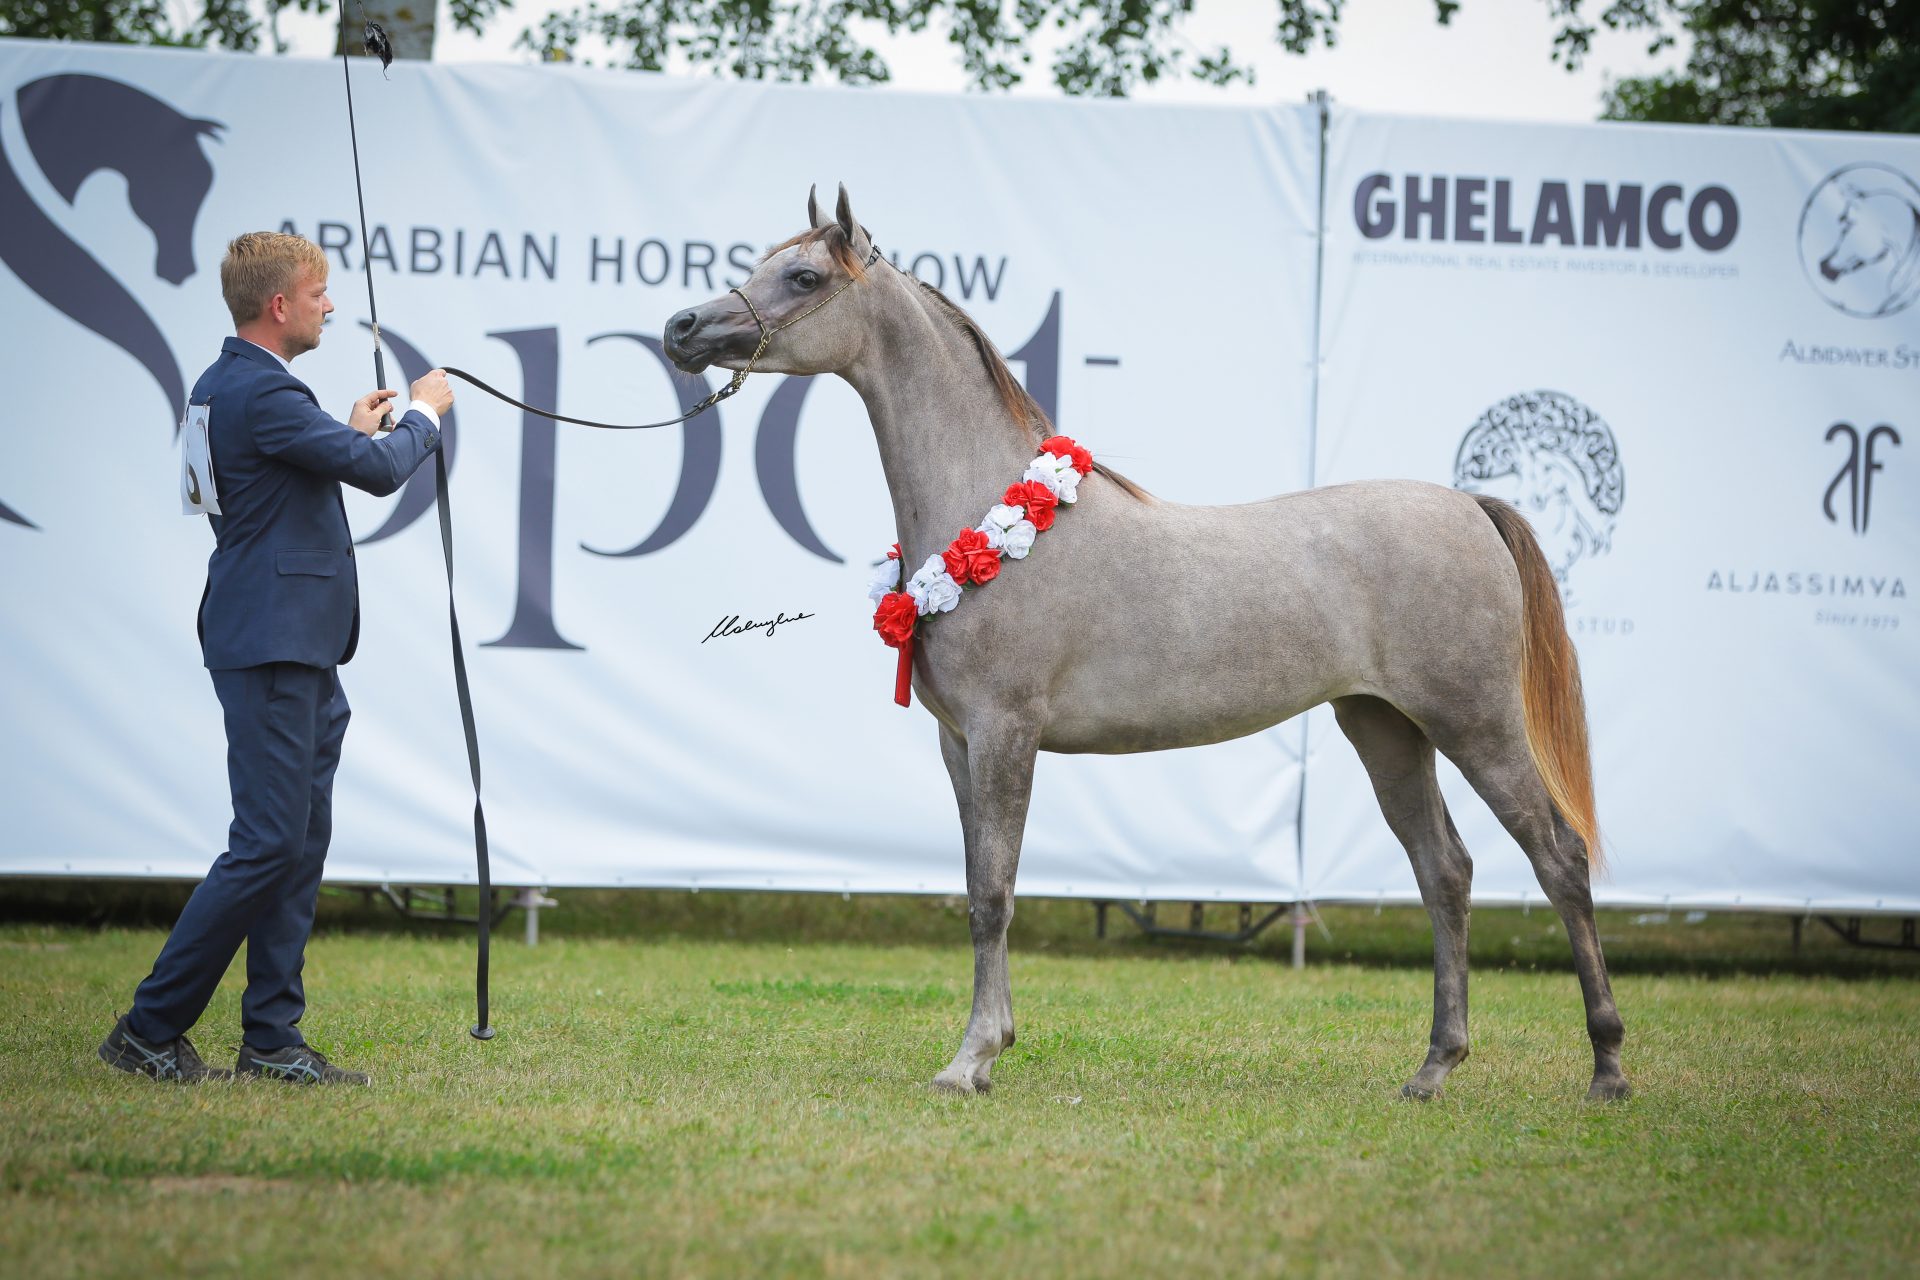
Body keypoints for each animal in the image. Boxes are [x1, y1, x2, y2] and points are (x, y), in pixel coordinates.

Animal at [663, 186, 1630, 1103]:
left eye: (803, 278)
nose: (683, 330)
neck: (993, 511)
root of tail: (1469, 505)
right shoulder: (958, 741)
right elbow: (979, 886)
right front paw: (987, 1049)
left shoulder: (1007, 732)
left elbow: (994, 894)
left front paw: (972, 1060)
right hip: (1385, 729)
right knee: (1445, 872)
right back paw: (1434, 1067)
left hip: (1475, 723)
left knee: (1557, 859)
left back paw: (1607, 1068)